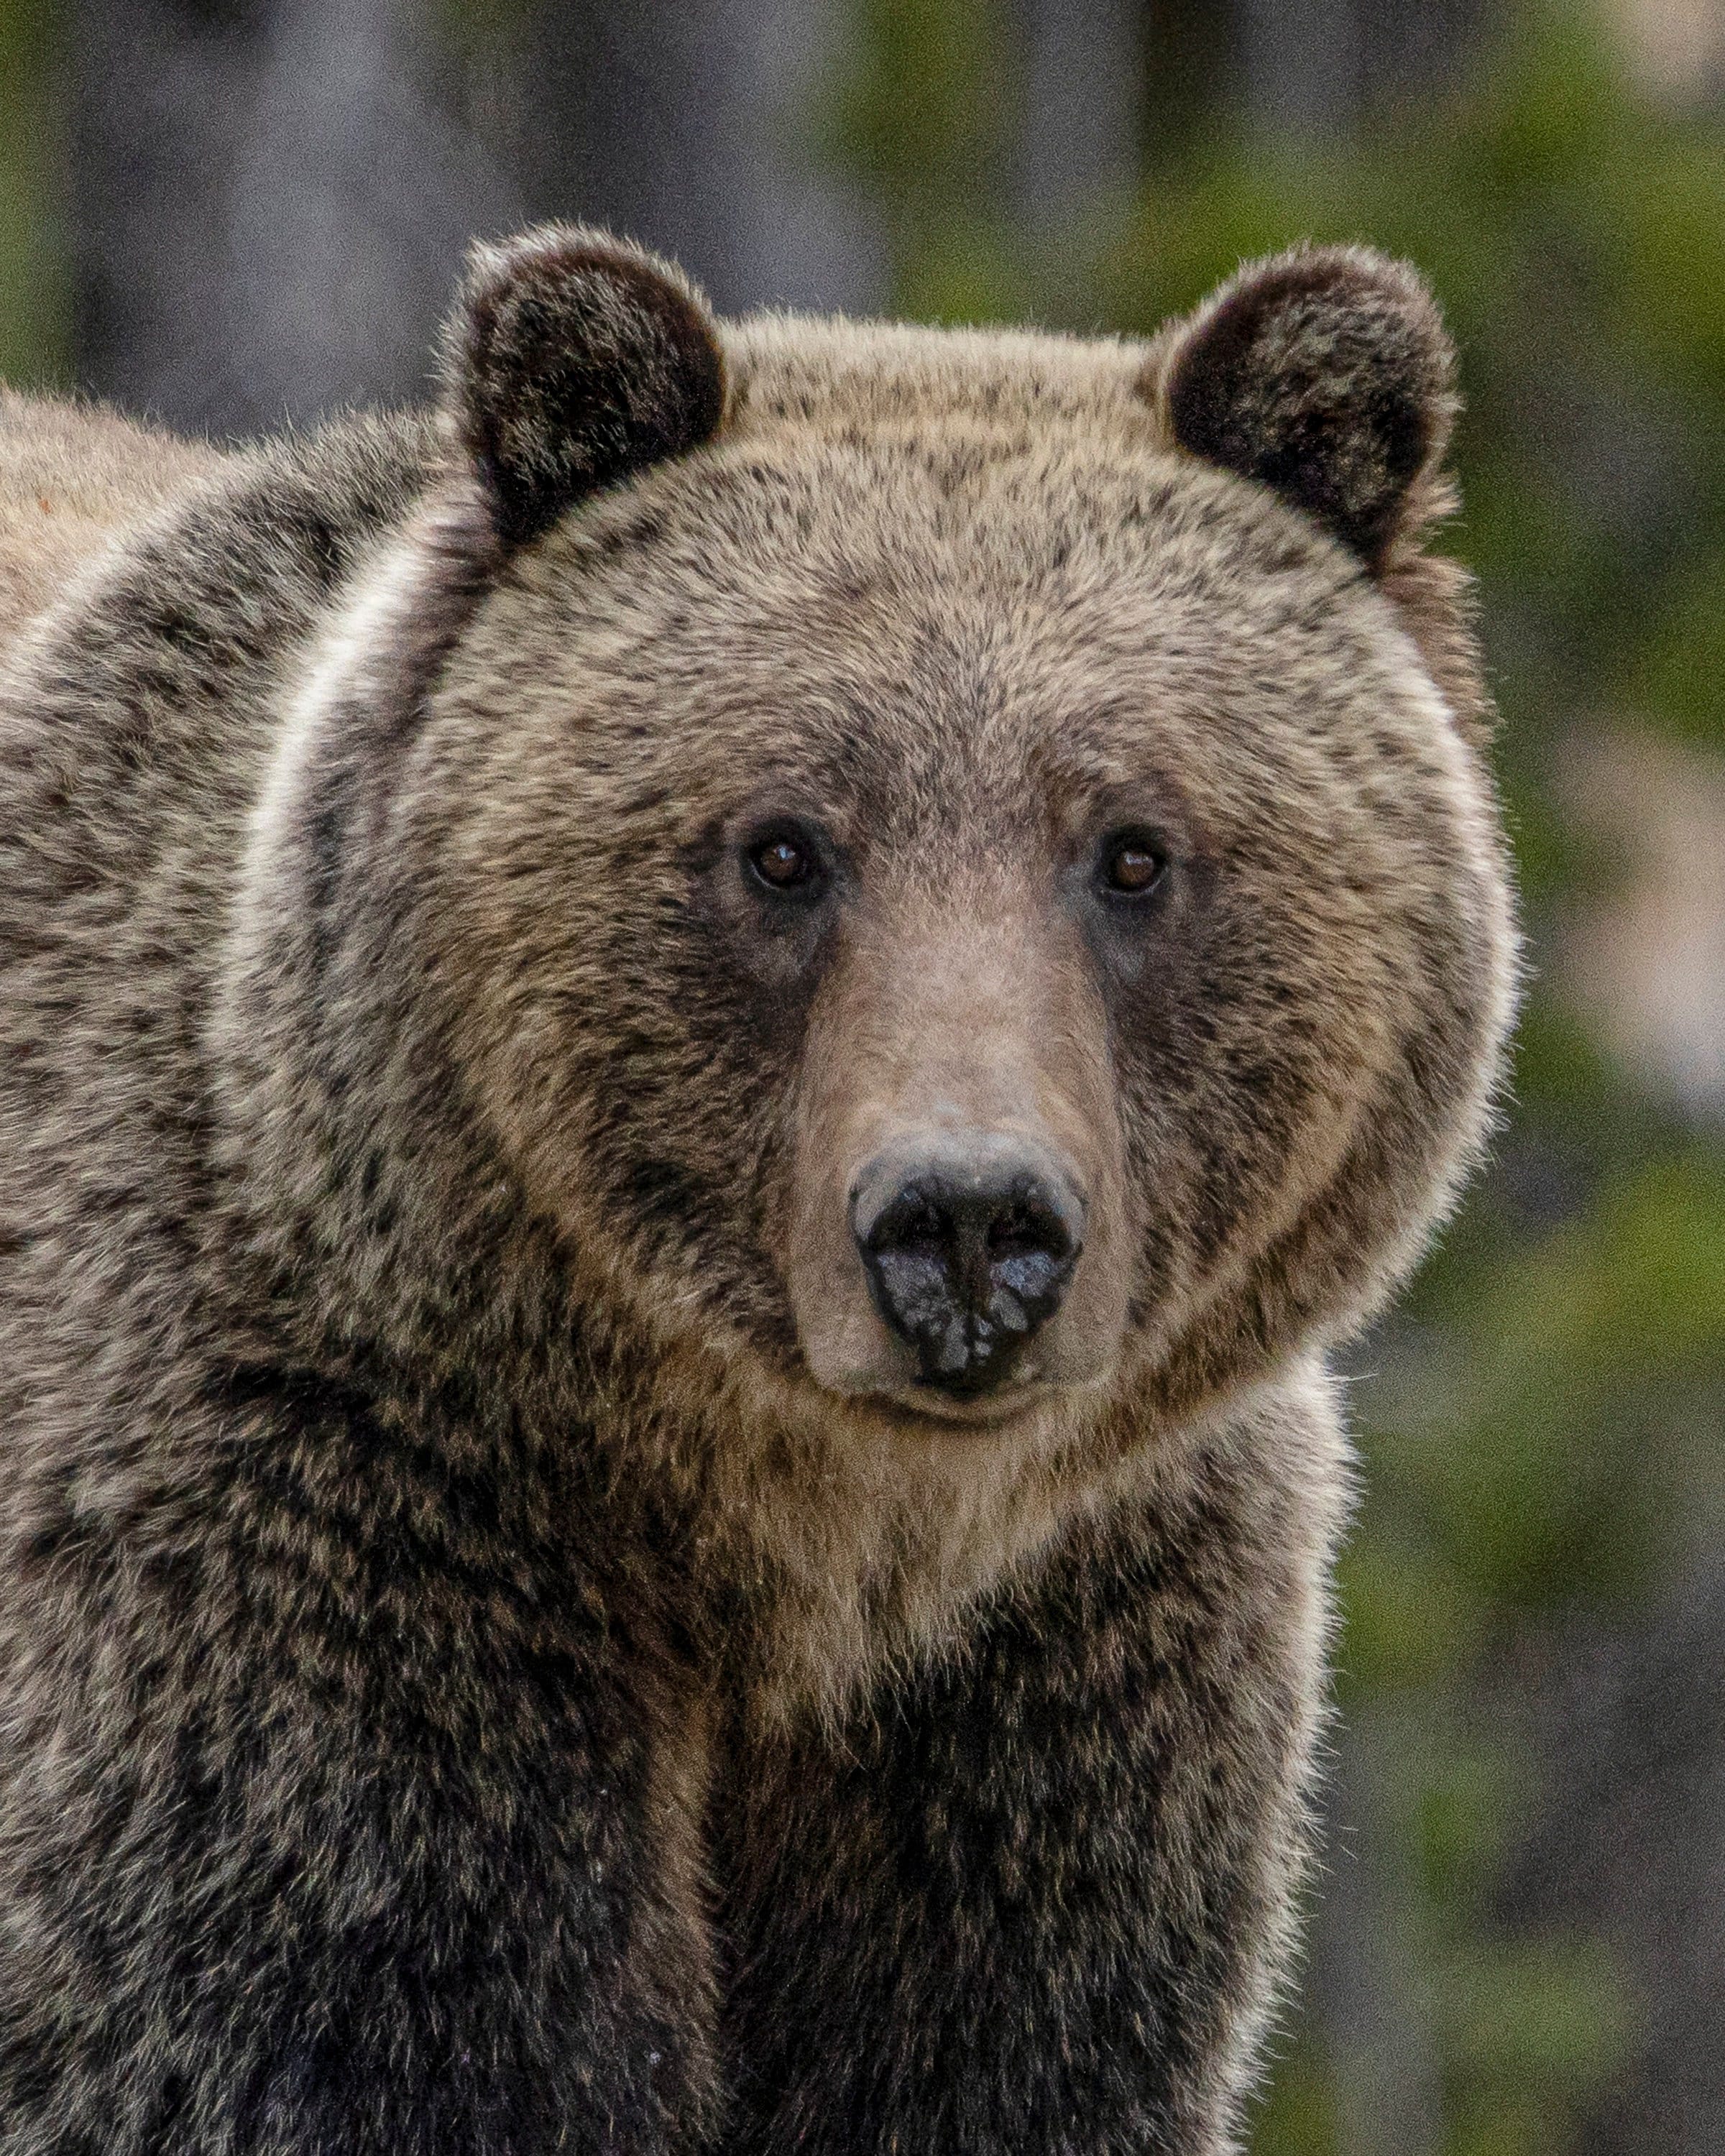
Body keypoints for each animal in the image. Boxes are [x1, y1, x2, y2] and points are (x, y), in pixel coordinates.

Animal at [0, 226, 1515, 2155]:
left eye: (1133, 851)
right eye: (782, 845)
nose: (967, 1224)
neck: (791, 1553)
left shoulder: (1063, 1678)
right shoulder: (318, 1546)